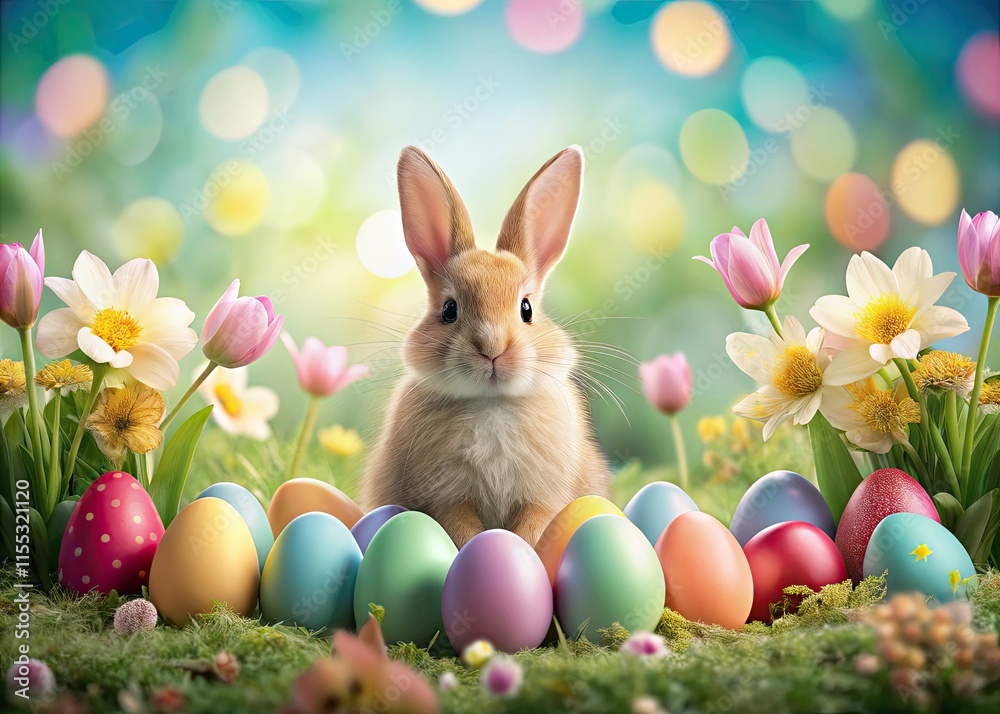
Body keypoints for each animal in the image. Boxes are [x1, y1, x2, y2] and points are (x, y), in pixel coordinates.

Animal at [362, 145, 612, 549]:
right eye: (449, 310)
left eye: (526, 309)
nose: (492, 348)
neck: (491, 403)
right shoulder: (448, 498)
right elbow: (461, 529)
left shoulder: (542, 497)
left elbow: (535, 526)